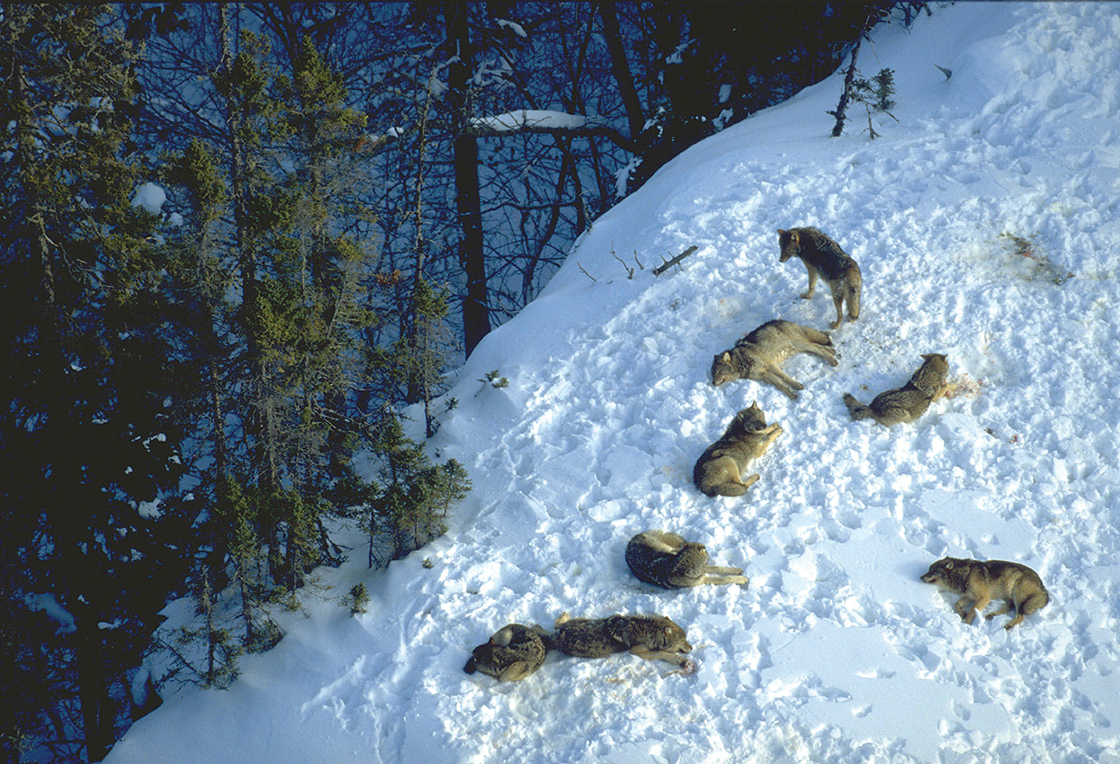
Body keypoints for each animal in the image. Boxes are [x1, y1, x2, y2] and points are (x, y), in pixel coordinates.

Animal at [551, 613, 696, 673]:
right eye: (683, 640)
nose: (692, 647)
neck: (649, 630)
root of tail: (559, 636)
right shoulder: (636, 651)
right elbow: (660, 652)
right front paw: (676, 658)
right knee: (555, 625)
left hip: (581, 620)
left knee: (557, 624)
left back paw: (564, 615)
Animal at [710, 319, 838, 399]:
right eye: (712, 374)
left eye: (719, 372)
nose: (713, 383)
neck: (741, 361)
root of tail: (786, 321)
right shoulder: (764, 374)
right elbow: (779, 384)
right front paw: (791, 394)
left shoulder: (770, 365)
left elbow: (785, 378)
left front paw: (796, 385)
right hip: (798, 347)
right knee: (817, 346)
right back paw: (832, 351)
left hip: (798, 344)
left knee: (818, 349)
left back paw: (833, 360)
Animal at [921, 557, 1050, 630]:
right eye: (929, 569)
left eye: (932, 571)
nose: (921, 577)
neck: (966, 574)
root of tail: (1044, 588)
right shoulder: (970, 596)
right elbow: (957, 603)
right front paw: (962, 614)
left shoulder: (983, 598)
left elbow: (972, 610)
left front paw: (967, 624)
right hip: (1008, 597)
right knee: (1009, 607)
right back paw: (991, 615)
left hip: (1017, 595)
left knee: (1020, 616)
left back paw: (1009, 625)